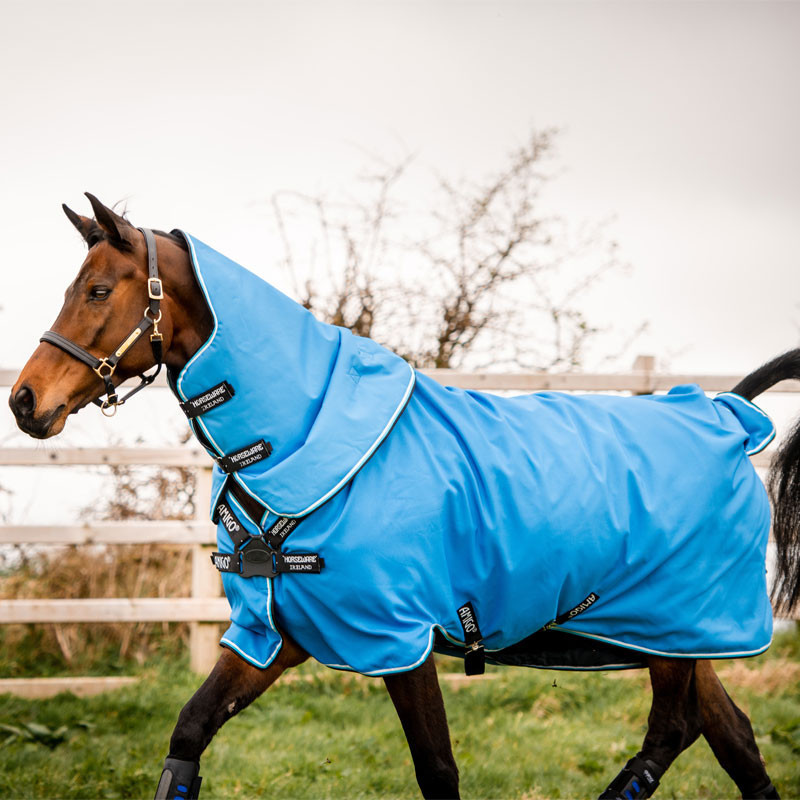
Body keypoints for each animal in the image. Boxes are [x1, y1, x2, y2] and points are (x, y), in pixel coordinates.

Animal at [9, 193, 800, 800]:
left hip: (679, 630)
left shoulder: (397, 636)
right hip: (673, 632)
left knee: (674, 729)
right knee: (732, 738)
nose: (25, 401)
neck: (308, 451)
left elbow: (438, 771)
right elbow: (190, 731)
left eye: (99, 291)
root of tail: (727, 412)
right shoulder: (278, 634)